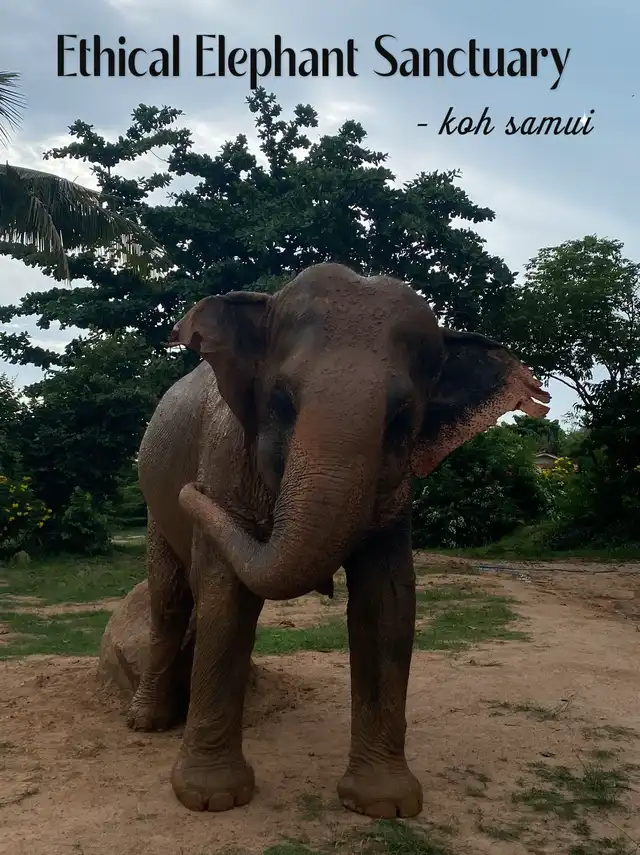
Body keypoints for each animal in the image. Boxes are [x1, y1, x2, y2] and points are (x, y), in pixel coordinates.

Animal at [128, 261, 550, 818]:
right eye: (281, 400)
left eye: (401, 417)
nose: (191, 489)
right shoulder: (223, 458)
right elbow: (225, 595)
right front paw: (211, 798)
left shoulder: (395, 498)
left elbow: (386, 601)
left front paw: (384, 805)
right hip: (154, 506)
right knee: (170, 598)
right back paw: (146, 722)